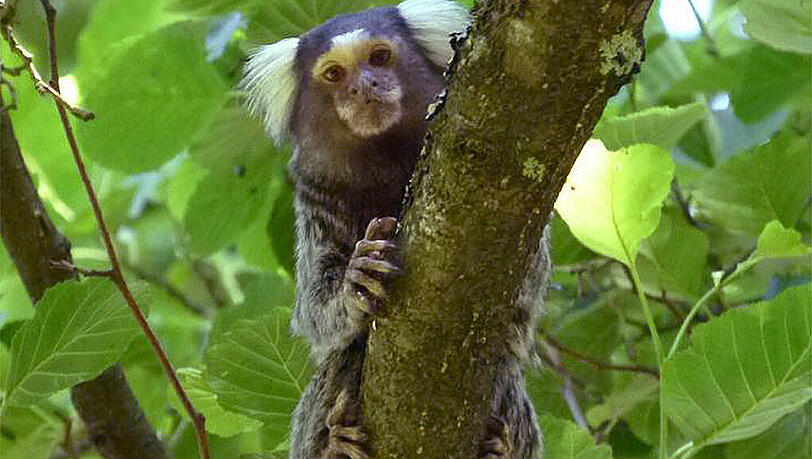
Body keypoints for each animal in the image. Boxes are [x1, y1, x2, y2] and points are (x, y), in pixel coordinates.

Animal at [241, 1, 548, 457]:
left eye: (380, 57)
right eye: (335, 74)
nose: (364, 85)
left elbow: (526, 289)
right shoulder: (316, 197)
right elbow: (314, 312)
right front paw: (355, 280)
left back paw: (499, 447)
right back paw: (337, 442)